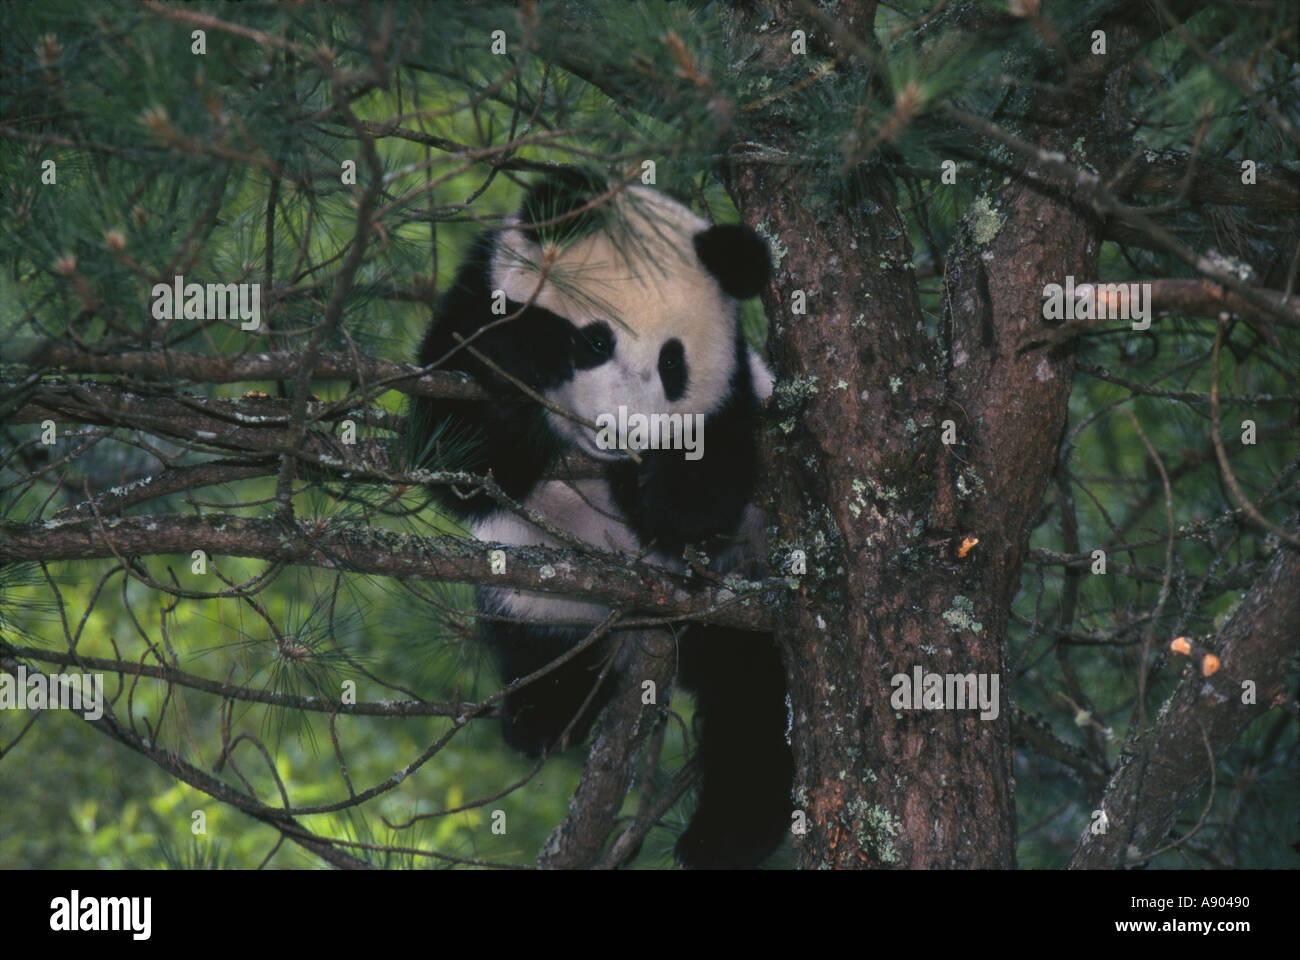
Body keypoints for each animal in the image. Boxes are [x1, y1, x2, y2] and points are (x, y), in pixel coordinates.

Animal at [410, 172, 793, 868]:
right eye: (594, 340)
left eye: (673, 363)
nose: (626, 435)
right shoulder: (471, 306)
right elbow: (449, 451)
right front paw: (516, 380)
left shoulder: (738, 407)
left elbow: (703, 502)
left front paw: (655, 487)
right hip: (541, 585)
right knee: (535, 633)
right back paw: (546, 715)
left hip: (745, 591)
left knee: (754, 701)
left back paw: (725, 834)